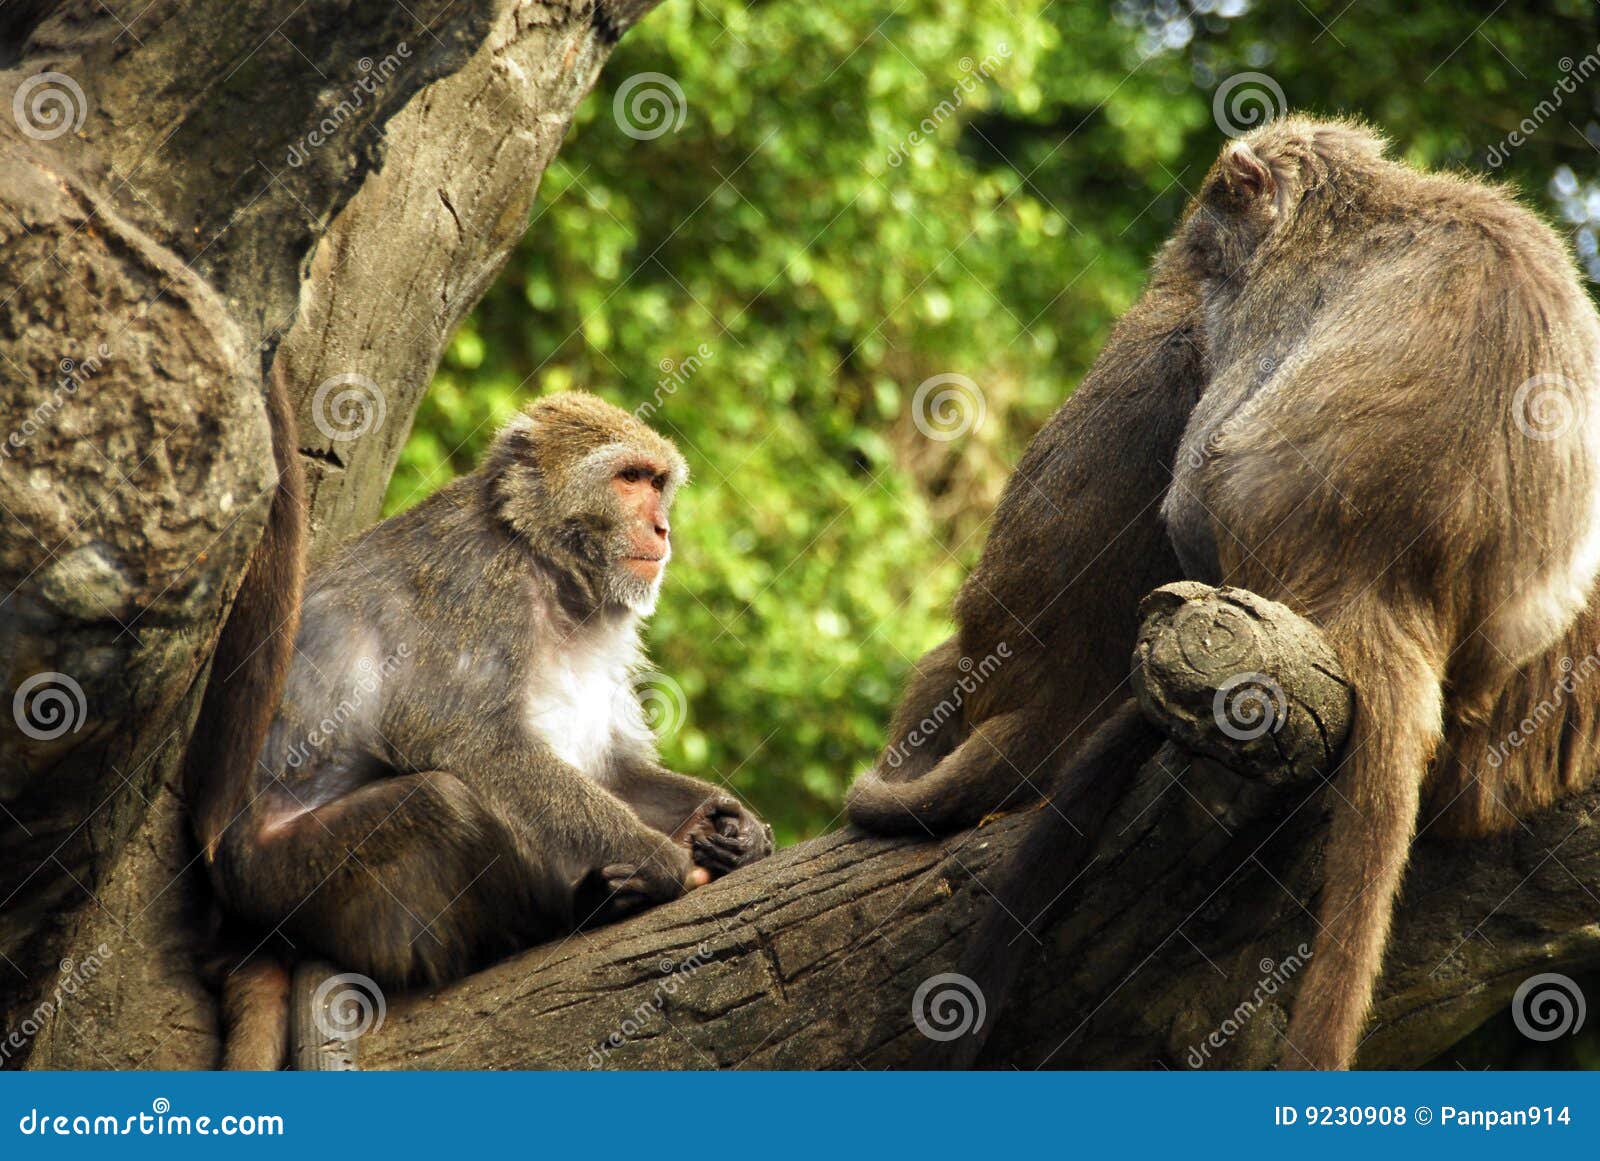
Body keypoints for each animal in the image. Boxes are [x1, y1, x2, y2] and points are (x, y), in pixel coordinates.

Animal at [187, 391, 773, 1068]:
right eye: (628, 480)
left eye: (657, 483)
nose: (662, 529)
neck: (545, 564)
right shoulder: (478, 586)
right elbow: (465, 741)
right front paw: (658, 857)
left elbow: (612, 770)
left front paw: (736, 829)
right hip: (285, 881)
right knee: (439, 800)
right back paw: (566, 916)